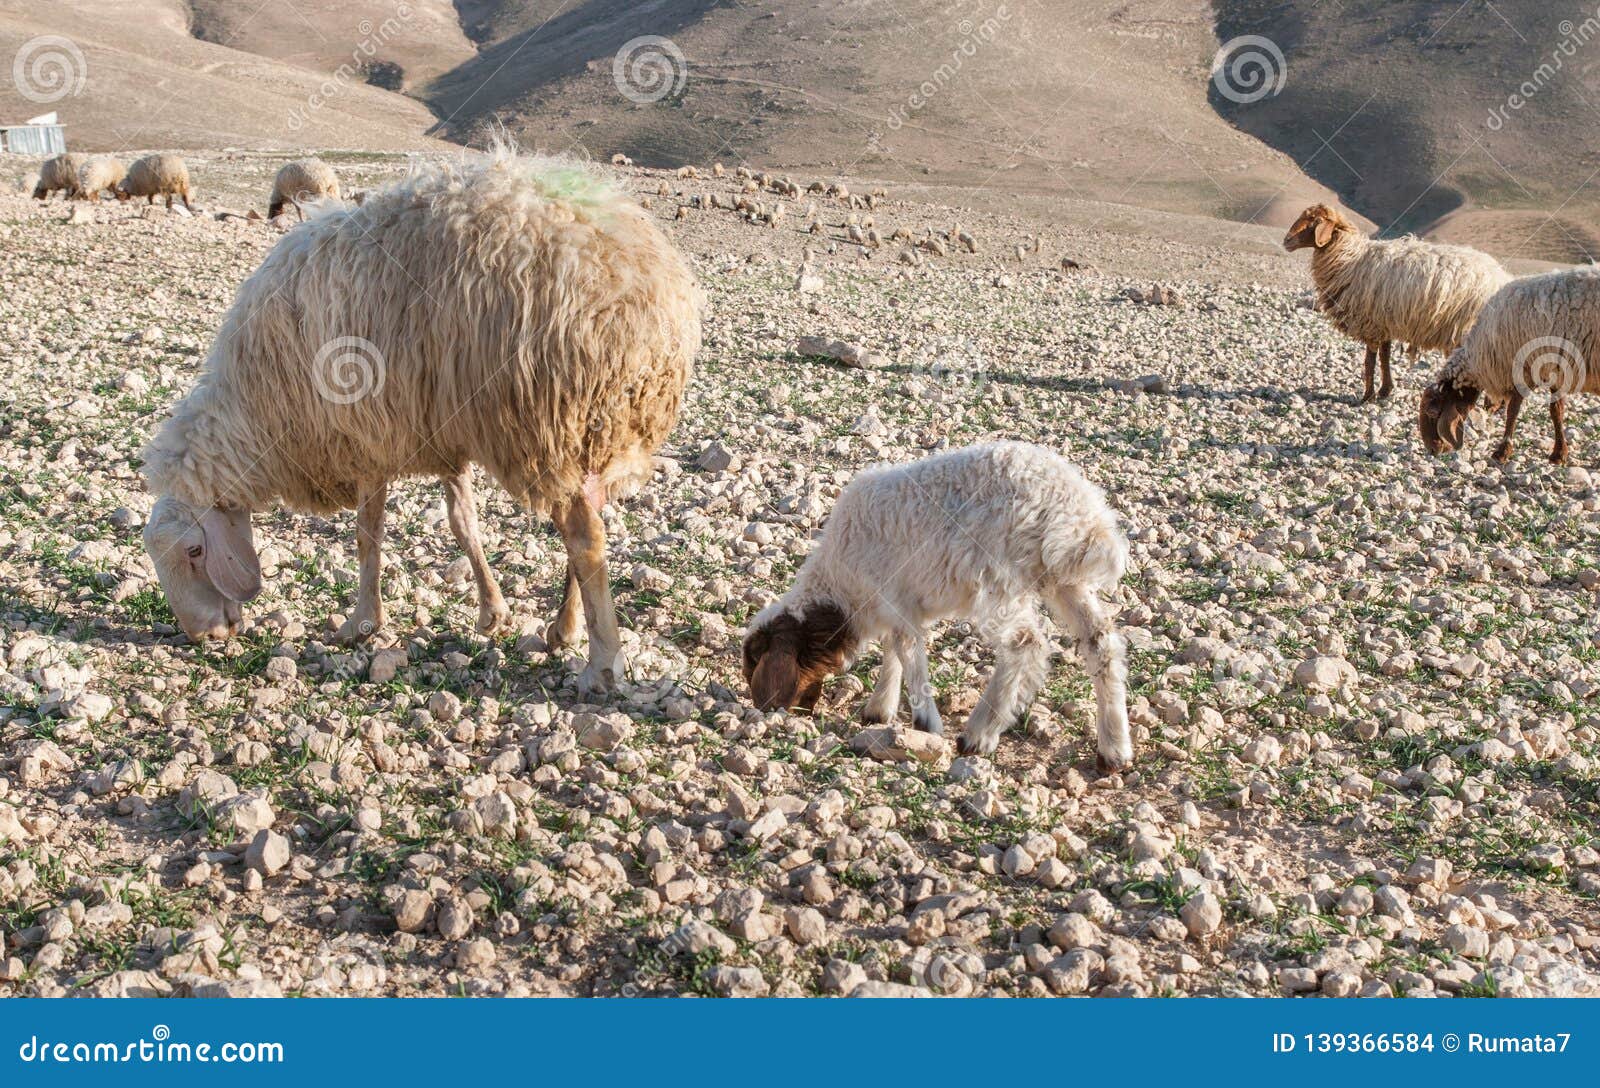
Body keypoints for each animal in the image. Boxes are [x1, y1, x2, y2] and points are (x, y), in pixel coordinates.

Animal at [140, 150, 701, 694]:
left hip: (545, 423)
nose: (204, 635)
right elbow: (463, 524)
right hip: (589, 431)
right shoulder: (440, 430)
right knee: (589, 514)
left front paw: (361, 622)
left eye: (194, 550)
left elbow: (367, 535)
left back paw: (601, 665)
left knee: (585, 538)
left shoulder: (366, 437)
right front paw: (491, 611)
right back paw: (564, 628)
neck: (255, 405)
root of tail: (647, 291)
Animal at [741, 441, 1134, 770]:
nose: (793, 711)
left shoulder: (895, 596)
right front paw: (880, 708)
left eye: (757, 661)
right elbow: (893, 648)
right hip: (1062, 581)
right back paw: (1114, 749)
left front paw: (925, 723)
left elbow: (907, 650)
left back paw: (979, 734)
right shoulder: (900, 605)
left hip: (998, 578)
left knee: (1024, 644)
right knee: (1101, 641)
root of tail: (1081, 517)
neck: (840, 585)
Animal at [1283, 204, 1510, 403]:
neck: (1349, 258)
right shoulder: (1383, 323)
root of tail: (1499, 277)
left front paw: (1367, 396)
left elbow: (1369, 362)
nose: (1286, 241)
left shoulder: (1370, 324)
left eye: (1316, 221)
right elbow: (1384, 358)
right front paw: (1385, 390)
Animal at [1420, 267, 1600, 464]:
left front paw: (1503, 451)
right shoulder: (1555, 369)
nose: (1431, 450)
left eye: (1431, 413)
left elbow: (1514, 410)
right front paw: (1559, 453)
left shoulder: (1522, 367)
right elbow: (1556, 411)